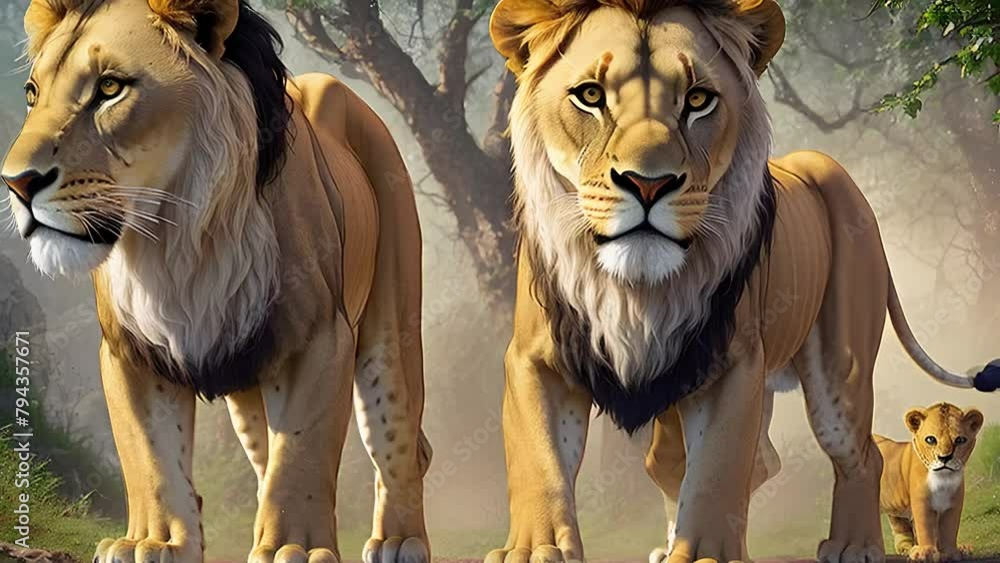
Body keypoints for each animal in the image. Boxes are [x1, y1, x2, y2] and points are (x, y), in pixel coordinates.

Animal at [3, 1, 431, 562]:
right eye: (33, 93)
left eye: (110, 87)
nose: (16, 183)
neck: (175, 241)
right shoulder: (129, 351)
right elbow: (150, 455)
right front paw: (154, 541)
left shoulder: (320, 338)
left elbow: (302, 452)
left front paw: (293, 548)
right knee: (264, 453)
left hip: (390, 328)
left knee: (397, 439)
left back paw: (399, 539)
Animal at [876, 403, 985, 562]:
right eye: (931, 440)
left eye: (960, 440)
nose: (945, 458)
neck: (944, 479)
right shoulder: (922, 503)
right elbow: (925, 526)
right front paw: (925, 552)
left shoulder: (953, 505)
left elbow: (949, 529)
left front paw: (951, 552)